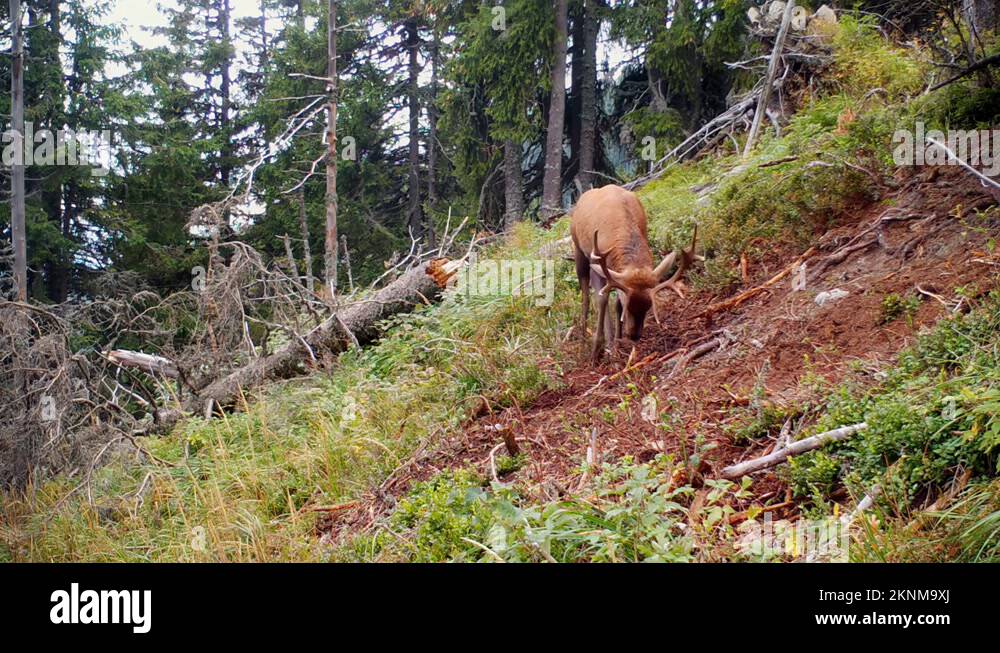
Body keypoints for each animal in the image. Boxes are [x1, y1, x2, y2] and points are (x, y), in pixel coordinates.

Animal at [570, 185, 698, 363]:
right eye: (628, 306)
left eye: (649, 307)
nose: (634, 335)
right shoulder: (595, 259)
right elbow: (601, 299)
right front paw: (597, 350)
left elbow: (614, 302)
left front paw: (616, 344)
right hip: (578, 250)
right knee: (586, 294)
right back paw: (583, 336)